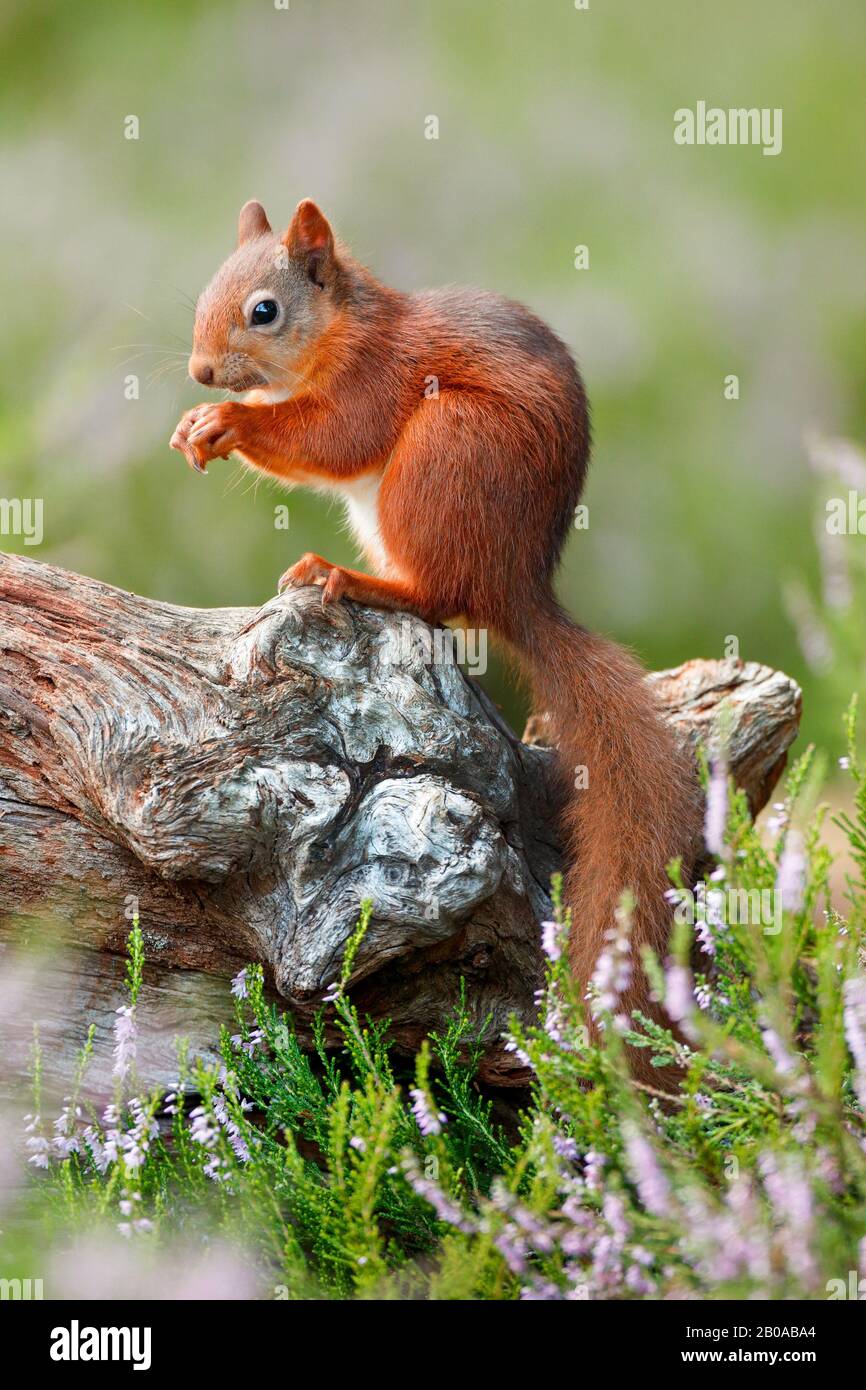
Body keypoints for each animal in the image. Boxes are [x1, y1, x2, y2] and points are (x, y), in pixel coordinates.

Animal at [170, 198, 702, 1073]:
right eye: (207, 293)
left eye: (264, 311)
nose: (203, 373)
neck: (343, 332)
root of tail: (516, 589)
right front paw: (198, 421)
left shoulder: (376, 380)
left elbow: (335, 437)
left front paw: (228, 422)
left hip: (444, 452)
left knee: (439, 597)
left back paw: (358, 581)